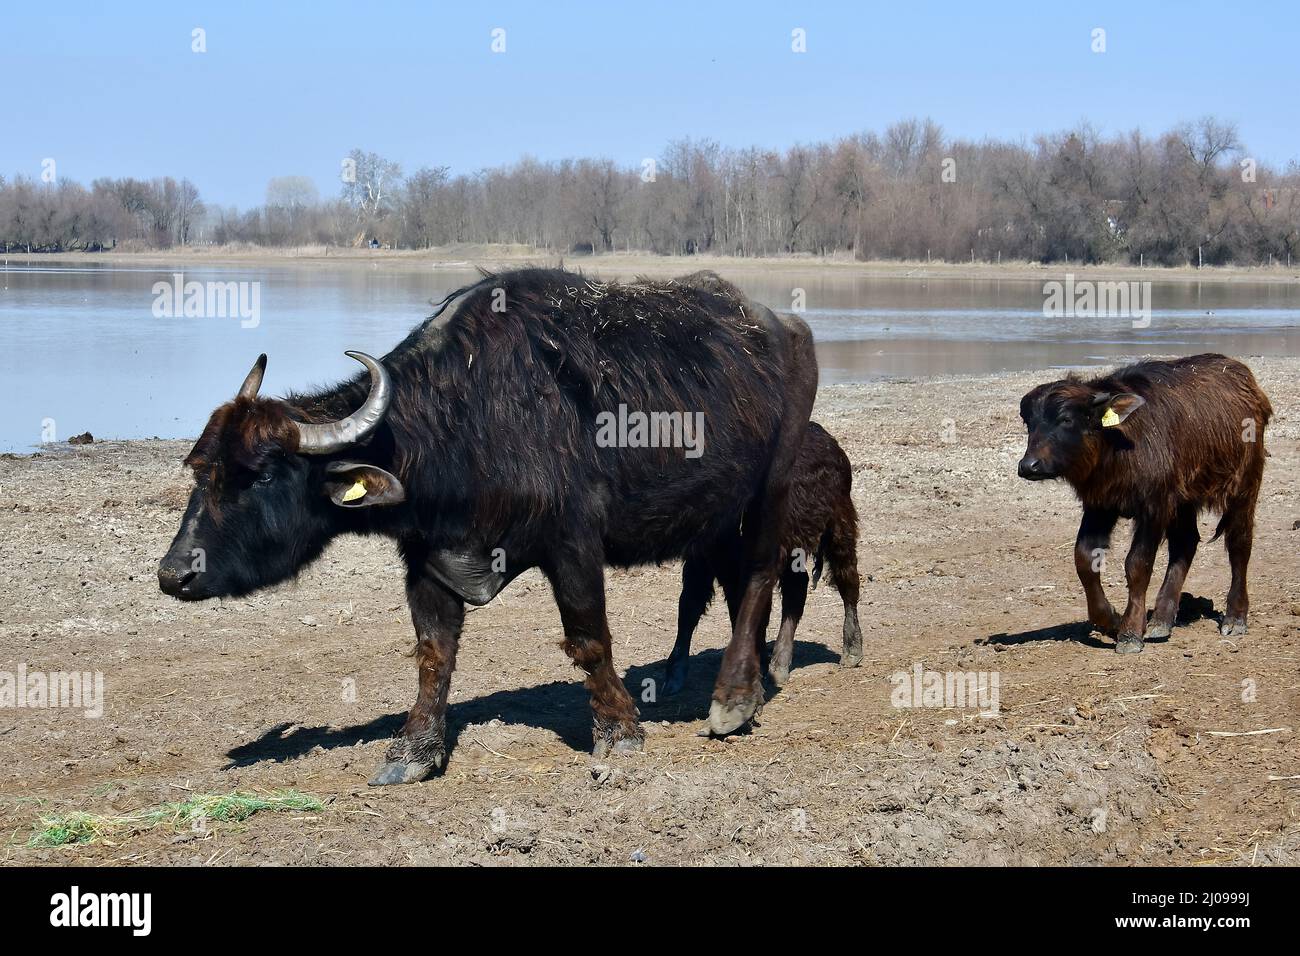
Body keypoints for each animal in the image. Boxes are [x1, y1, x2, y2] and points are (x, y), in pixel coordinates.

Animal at [158, 268, 816, 784]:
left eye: (261, 475)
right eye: (200, 469)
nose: (174, 574)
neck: (464, 420)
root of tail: (783, 328)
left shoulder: (572, 543)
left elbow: (589, 639)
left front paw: (619, 732)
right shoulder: (427, 557)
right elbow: (432, 651)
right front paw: (413, 749)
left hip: (774, 483)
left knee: (760, 575)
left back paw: (734, 698)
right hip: (715, 511)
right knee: (729, 585)